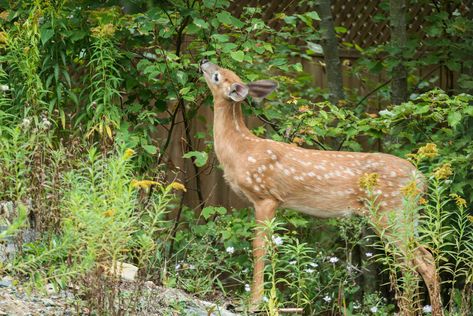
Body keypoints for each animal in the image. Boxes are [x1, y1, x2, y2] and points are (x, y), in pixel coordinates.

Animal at [197, 59, 440, 316]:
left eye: (217, 76)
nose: (203, 61)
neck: (240, 149)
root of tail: (420, 179)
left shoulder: (265, 197)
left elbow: (259, 248)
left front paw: (255, 303)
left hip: (389, 212)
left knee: (415, 261)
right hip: (406, 215)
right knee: (420, 259)